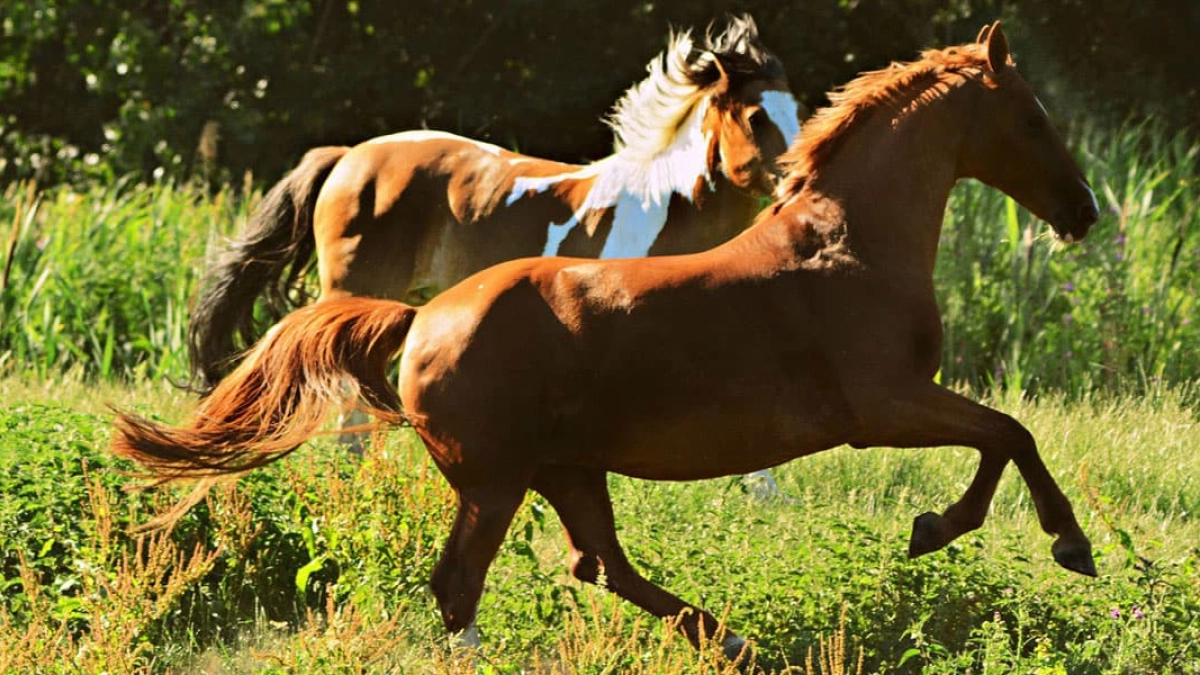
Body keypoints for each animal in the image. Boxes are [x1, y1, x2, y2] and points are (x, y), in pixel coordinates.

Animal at [186, 14, 801, 391]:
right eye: (756, 116)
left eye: (796, 109)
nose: (797, 178)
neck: (663, 210)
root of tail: (349, 157)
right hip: (354, 292)